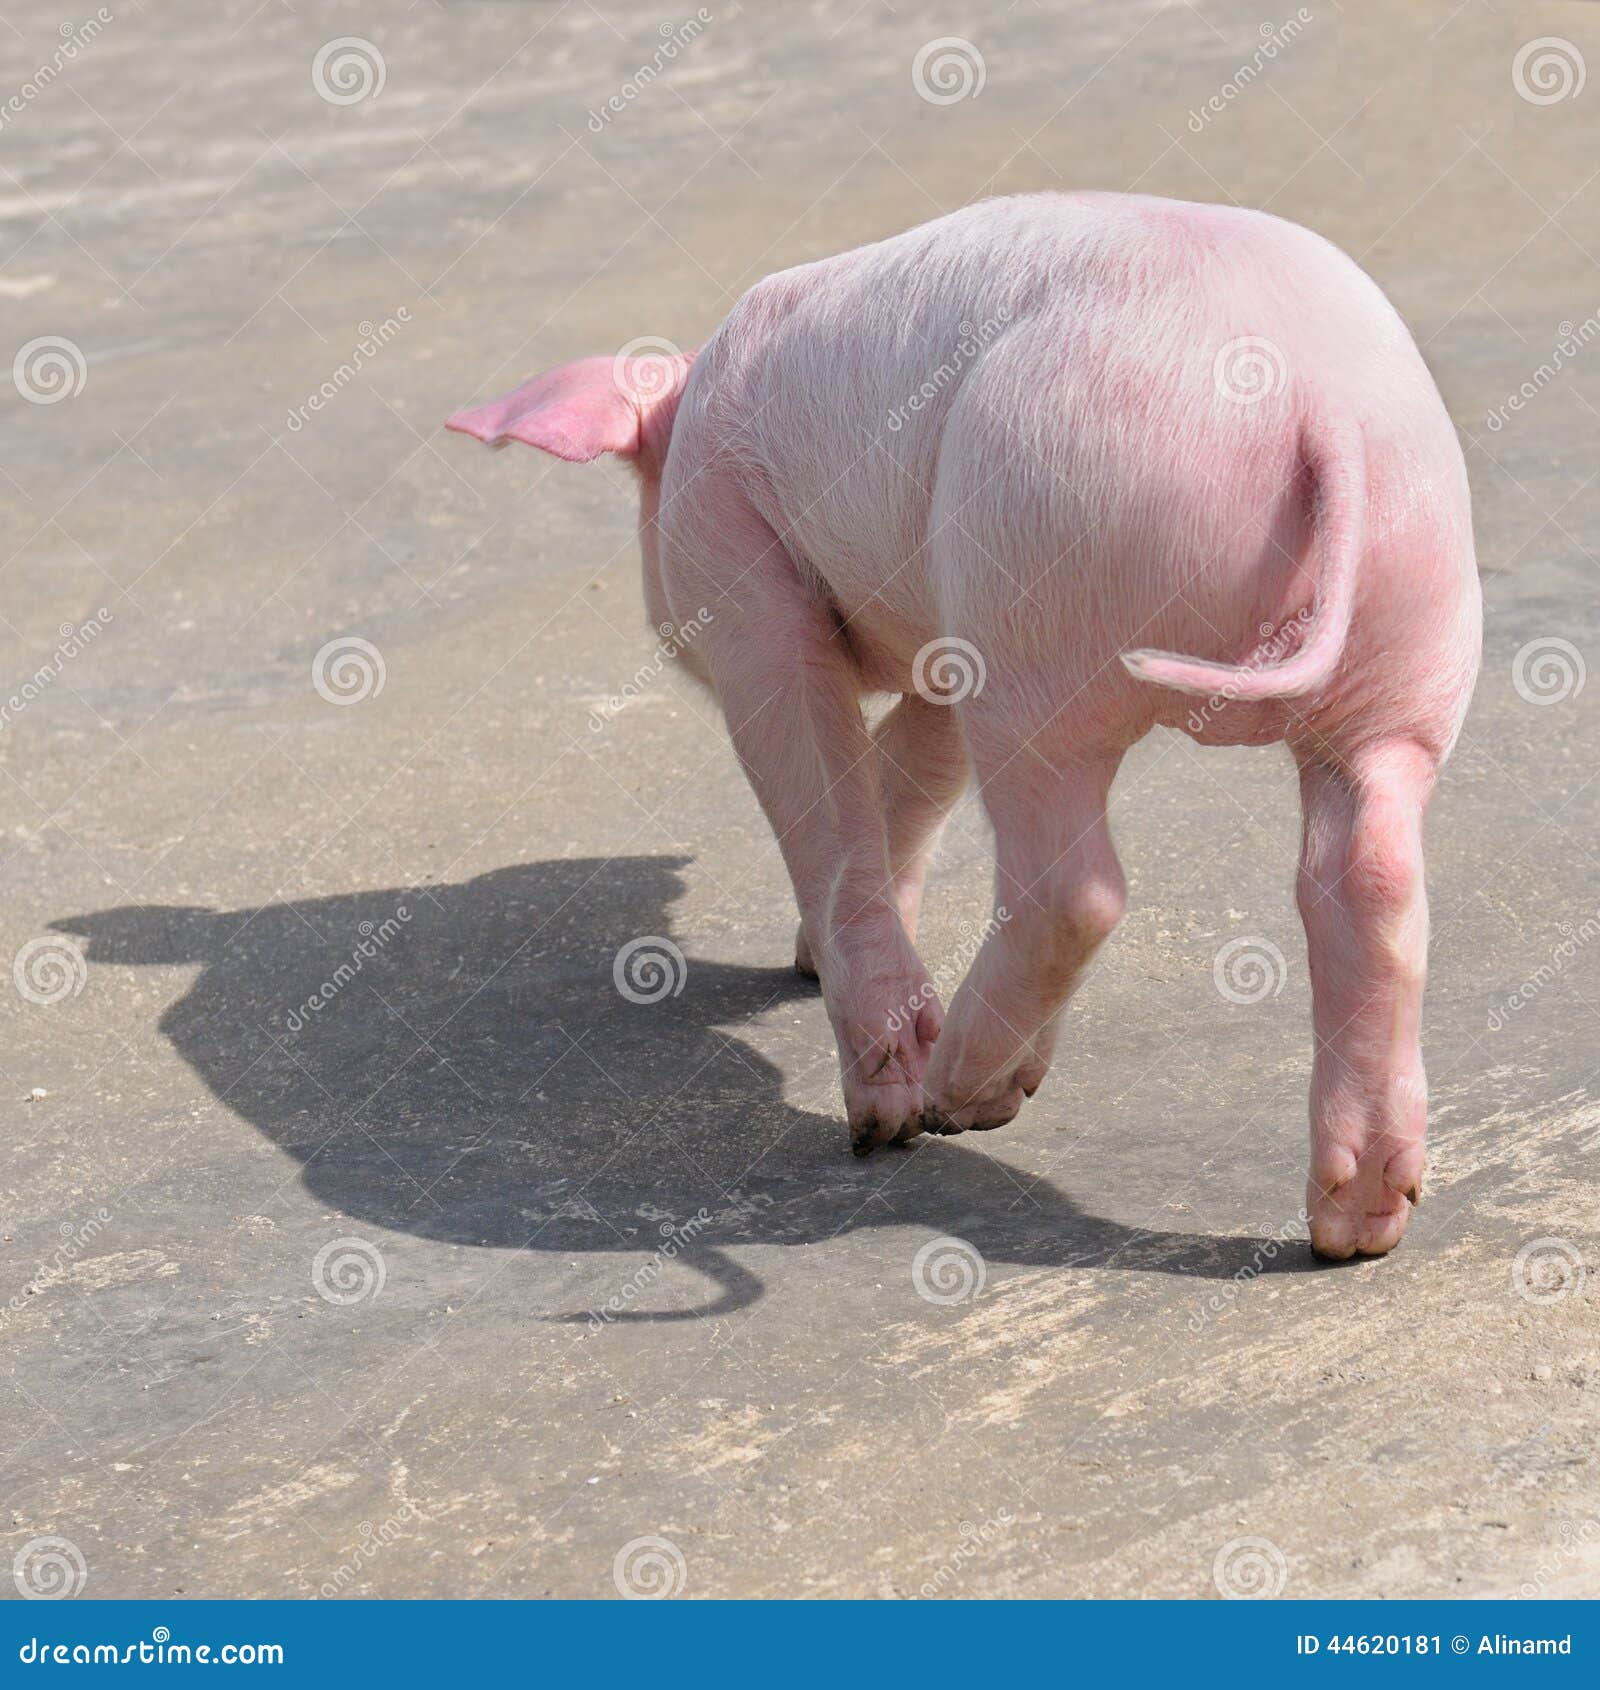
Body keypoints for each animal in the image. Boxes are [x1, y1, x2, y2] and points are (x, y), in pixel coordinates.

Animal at [447, 191, 1480, 1261]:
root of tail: (1319, 407)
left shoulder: (742, 577)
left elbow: (821, 779)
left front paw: (880, 1118)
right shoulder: (942, 646)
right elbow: (906, 773)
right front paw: (807, 964)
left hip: (1035, 593)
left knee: (1077, 886)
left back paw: (956, 1099)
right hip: (1411, 632)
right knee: (1368, 872)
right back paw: (1355, 1229)